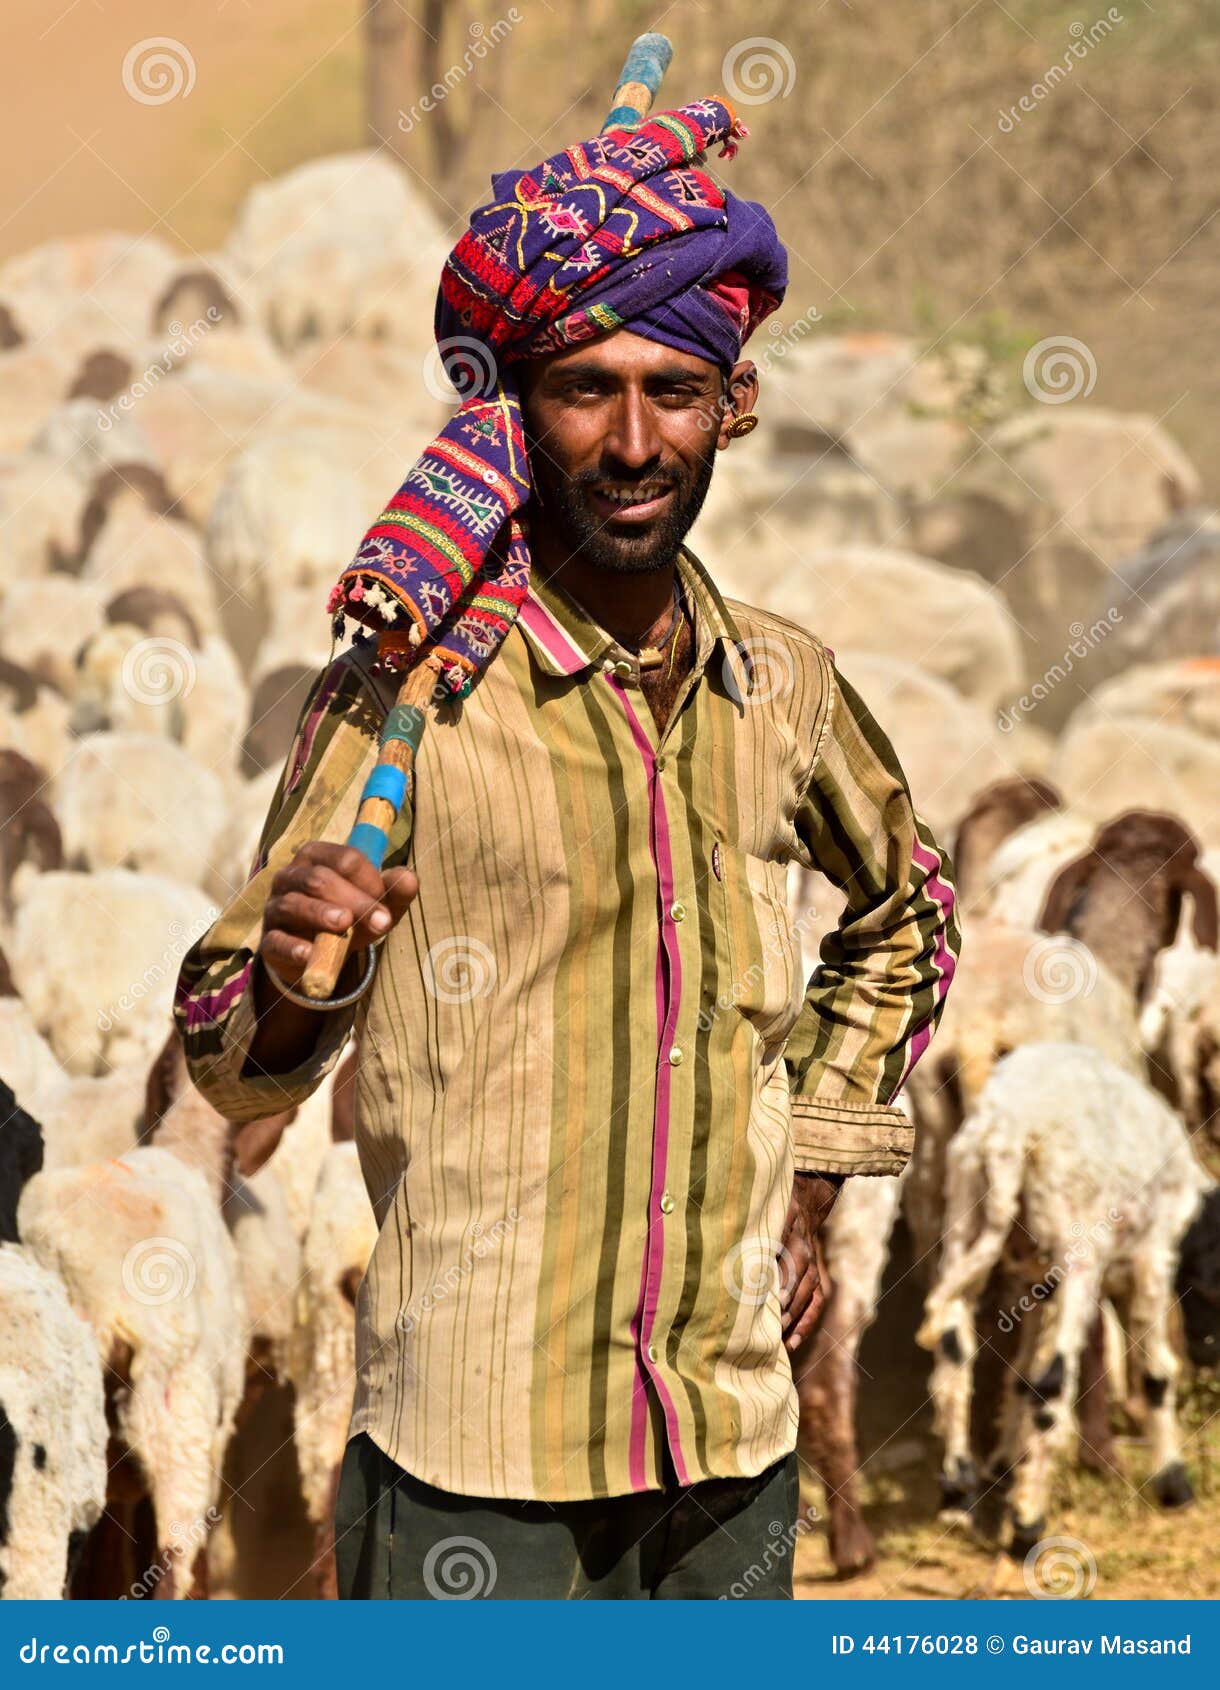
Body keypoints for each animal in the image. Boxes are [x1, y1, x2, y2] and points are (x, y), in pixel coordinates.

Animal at [917, 1042, 1212, 1557]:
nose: (1209, 1353)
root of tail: (1007, 1134)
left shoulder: (1035, 1280)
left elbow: (1019, 1373)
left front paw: (1004, 1464)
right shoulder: (1152, 1258)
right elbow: (1157, 1373)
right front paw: (1174, 1483)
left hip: (966, 1222)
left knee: (954, 1354)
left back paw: (958, 1492)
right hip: (1078, 1248)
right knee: (1053, 1382)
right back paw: (1027, 1523)